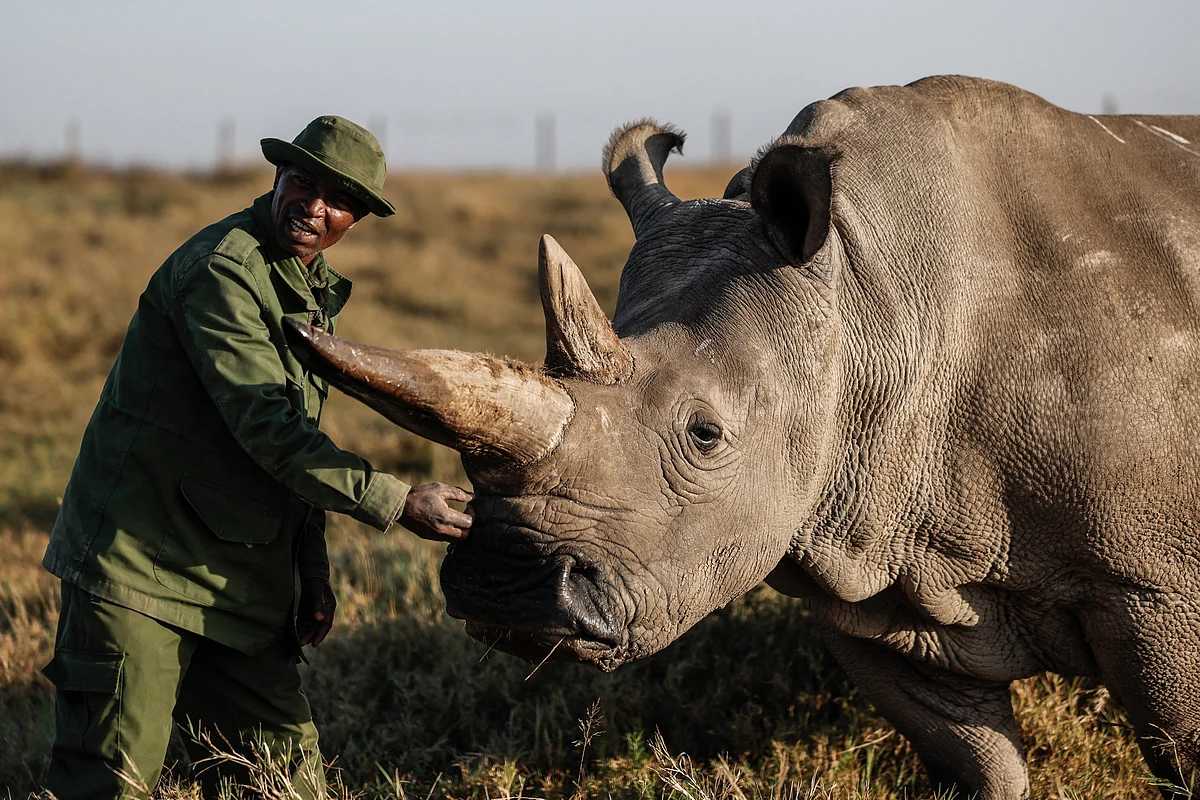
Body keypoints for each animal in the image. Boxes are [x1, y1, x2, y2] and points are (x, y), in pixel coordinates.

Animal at [284, 75, 1200, 799]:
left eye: (705, 435)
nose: (504, 589)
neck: (866, 298)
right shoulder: (868, 563)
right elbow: (976, 762)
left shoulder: (1155, 581)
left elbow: (1180, 746)